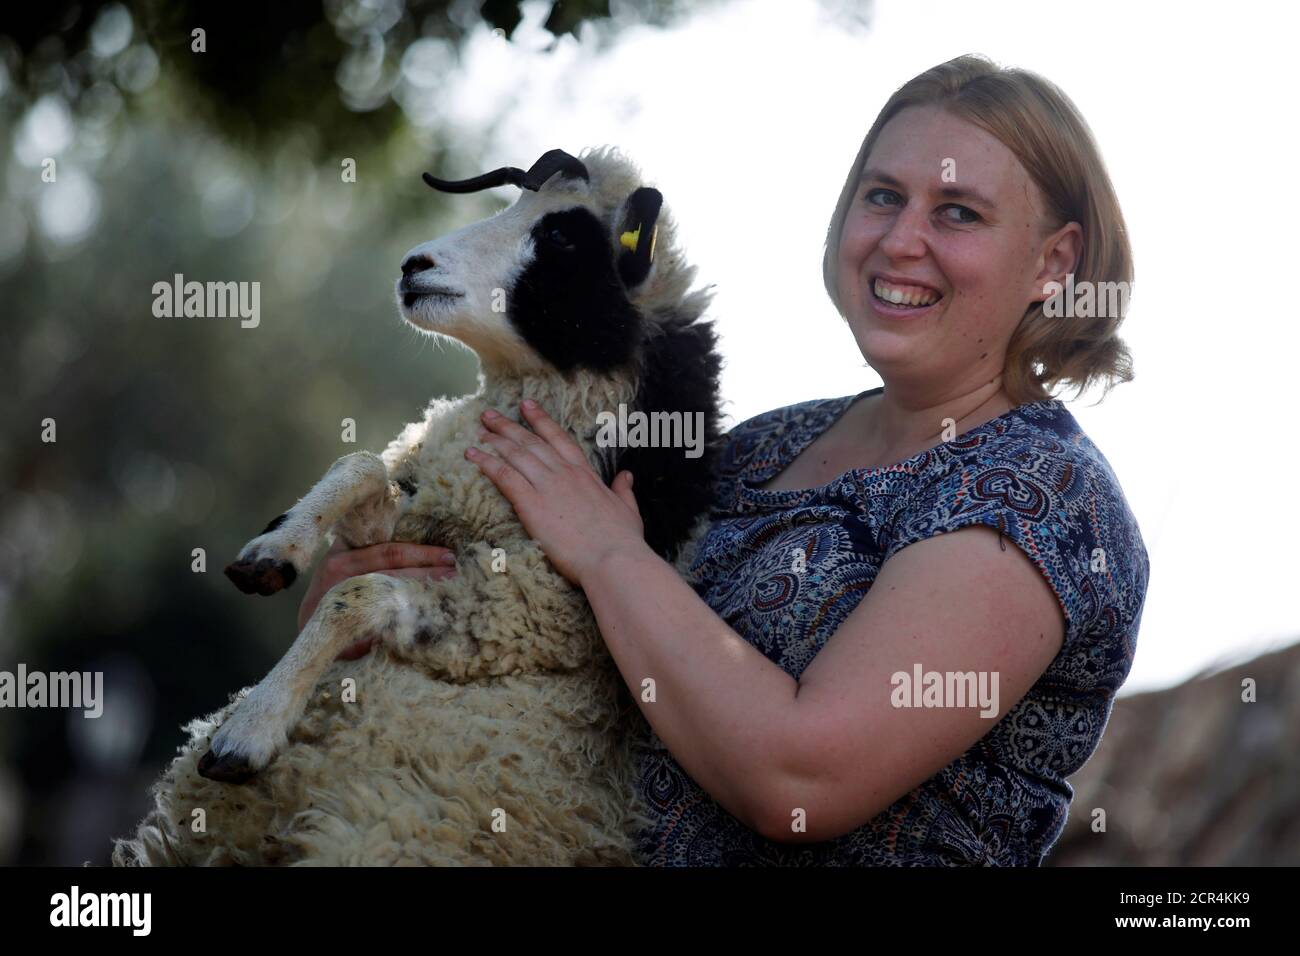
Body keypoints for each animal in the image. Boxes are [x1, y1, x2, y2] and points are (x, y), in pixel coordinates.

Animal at [111, 146, 724, 866]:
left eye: (562, 238)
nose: (413, 266)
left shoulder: (510, 615)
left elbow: (356, 595)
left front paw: (249, 728)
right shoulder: (415, 522)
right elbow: (361, 467)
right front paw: (274, 551)